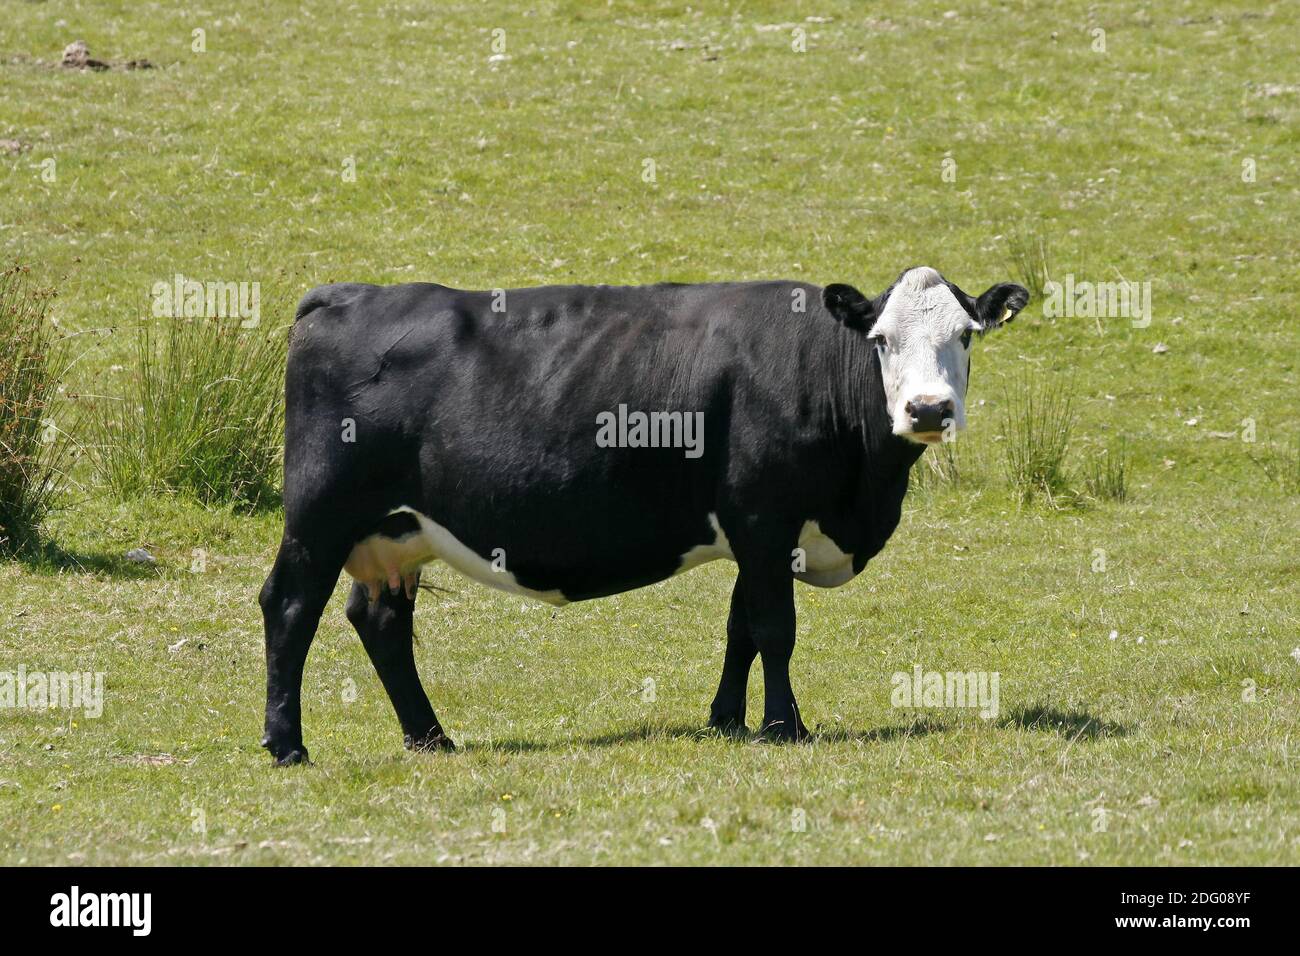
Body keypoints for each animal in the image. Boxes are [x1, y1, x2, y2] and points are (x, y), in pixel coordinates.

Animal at [259, 266, 1028, 764]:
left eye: (965, 335)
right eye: (881, 341)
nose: (927, 409)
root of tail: (344, 295)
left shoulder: (751, 533)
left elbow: (740, 628)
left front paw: (726, 721)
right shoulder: (765, 519)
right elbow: (775, 630)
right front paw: (784, 727)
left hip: (396, 533)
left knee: (381, 621)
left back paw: (431, 739)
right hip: (320, 517)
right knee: (290, 608)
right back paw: (287, 743)